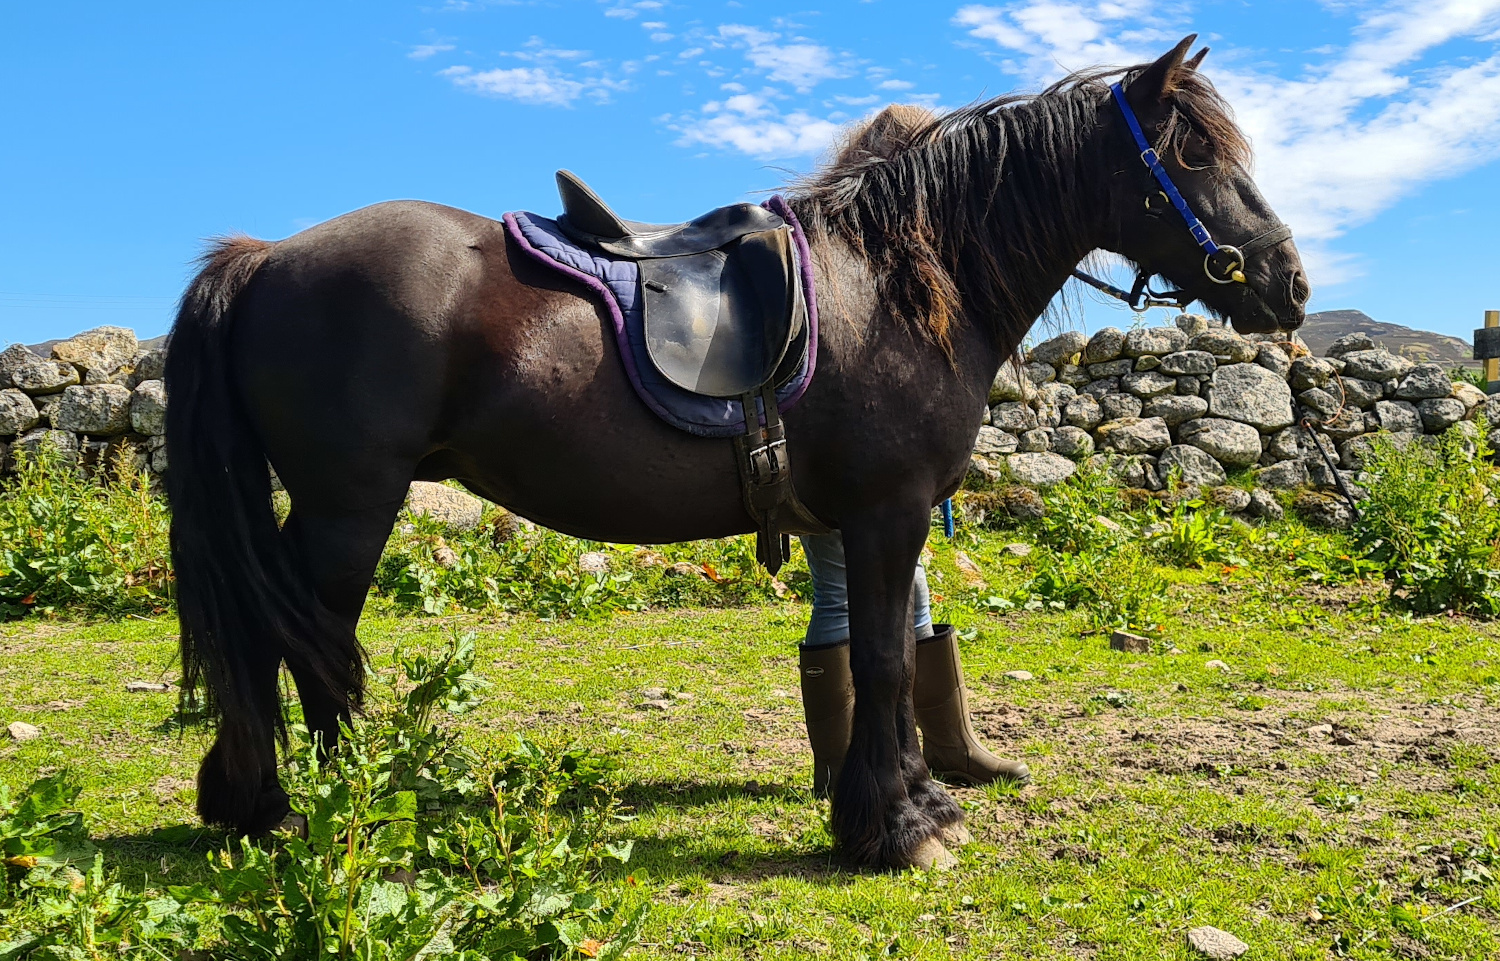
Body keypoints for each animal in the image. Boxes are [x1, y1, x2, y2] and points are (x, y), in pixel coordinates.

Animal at [164, 36, 1307, 870]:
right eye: (1192, 156)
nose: (1288, 283)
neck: (899, 283)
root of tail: (266, 257)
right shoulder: (887, 513)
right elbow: (885, 659)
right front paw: (898, 829)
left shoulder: (853, 522)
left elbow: (885, 660)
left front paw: (914, 800)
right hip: (348, 507)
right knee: (300, 642)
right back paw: (309, 807)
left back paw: (263, 800)